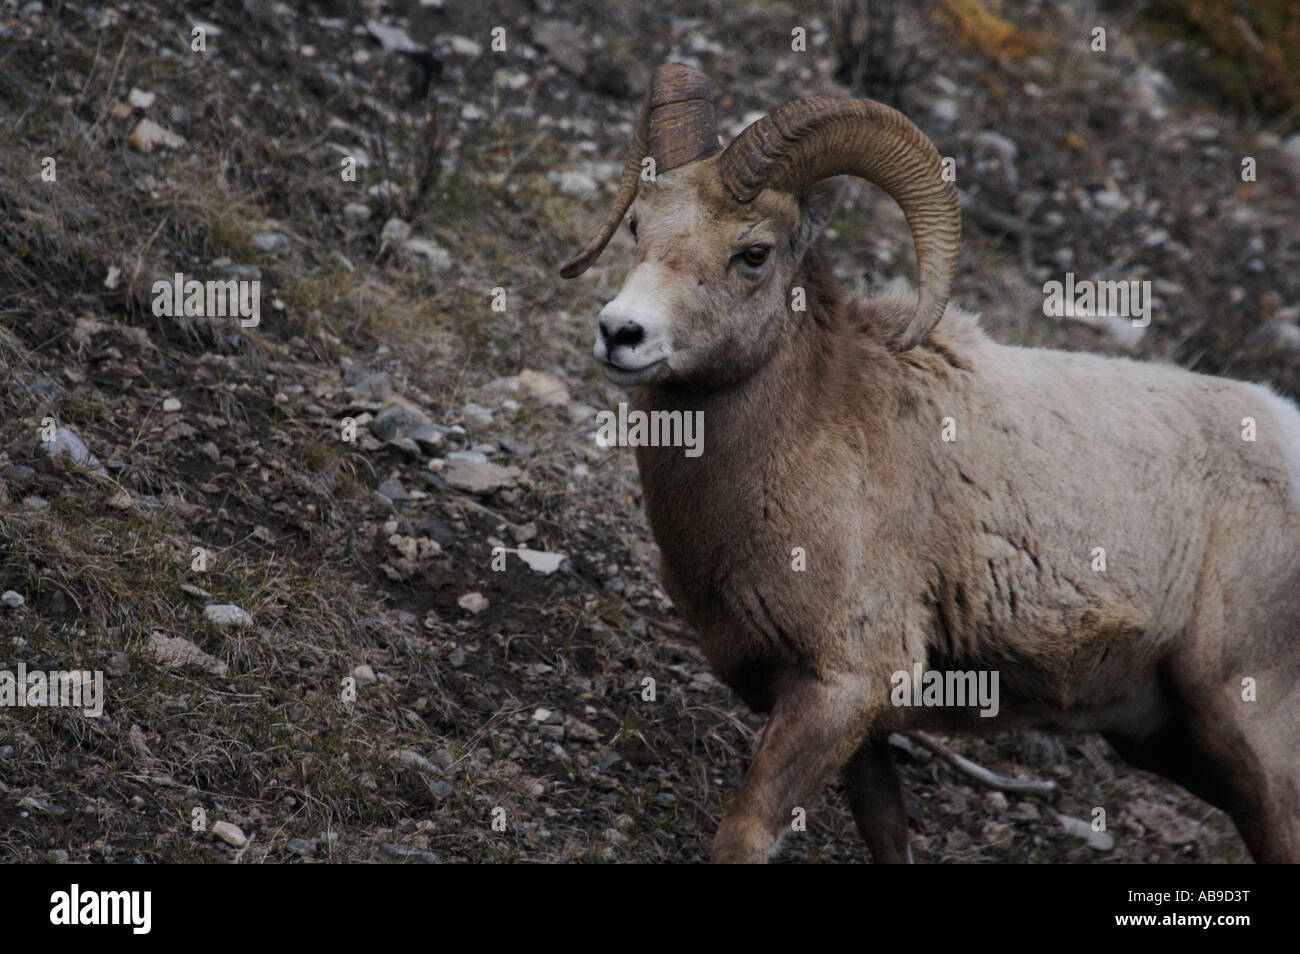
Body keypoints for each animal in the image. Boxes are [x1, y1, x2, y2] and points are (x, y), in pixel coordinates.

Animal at [560, 63, 1300, 863]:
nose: (621, 333)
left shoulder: (840, 684)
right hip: (1174, 741)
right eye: (639, 227)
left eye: (752, 253)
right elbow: (887, 830)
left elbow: (746, 834)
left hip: (1253, 730)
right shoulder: (852, 723)